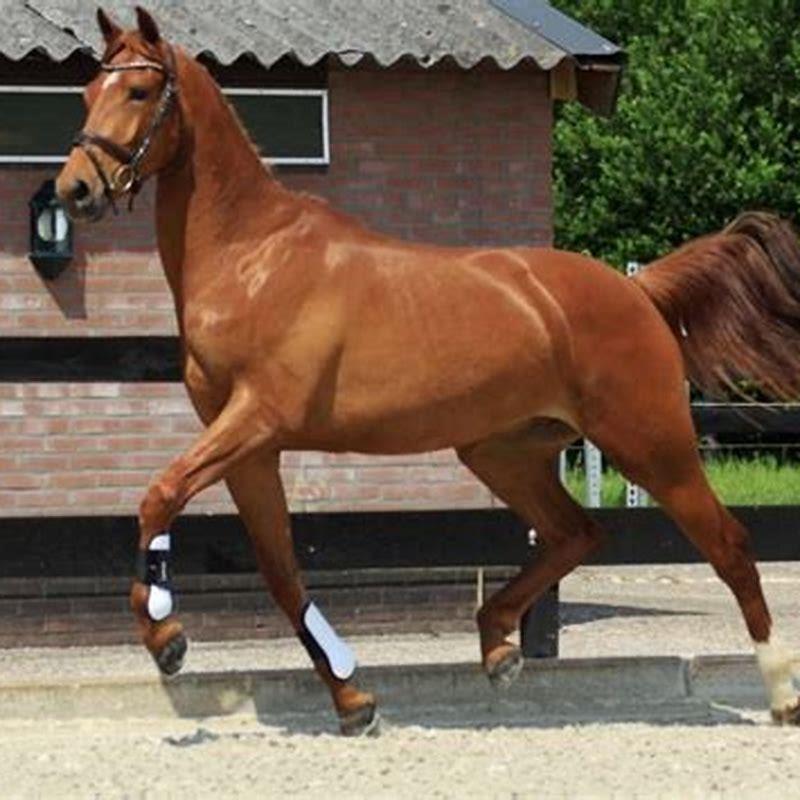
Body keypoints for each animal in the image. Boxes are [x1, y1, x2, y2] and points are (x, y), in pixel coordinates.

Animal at [55, 8, 800, 735]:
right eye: (88, 93)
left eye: (139, 91)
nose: (75, 189)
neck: (252, 257)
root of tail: (636, 290)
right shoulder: (250, 450)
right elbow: (280, 570)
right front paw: (352, 699)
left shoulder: (256, 420)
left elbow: (159, 494)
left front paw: (166, 635)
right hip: (503, 452)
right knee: (576, 532)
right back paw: (497, 645)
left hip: (651, 443)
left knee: (729, 545)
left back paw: (781, 693)